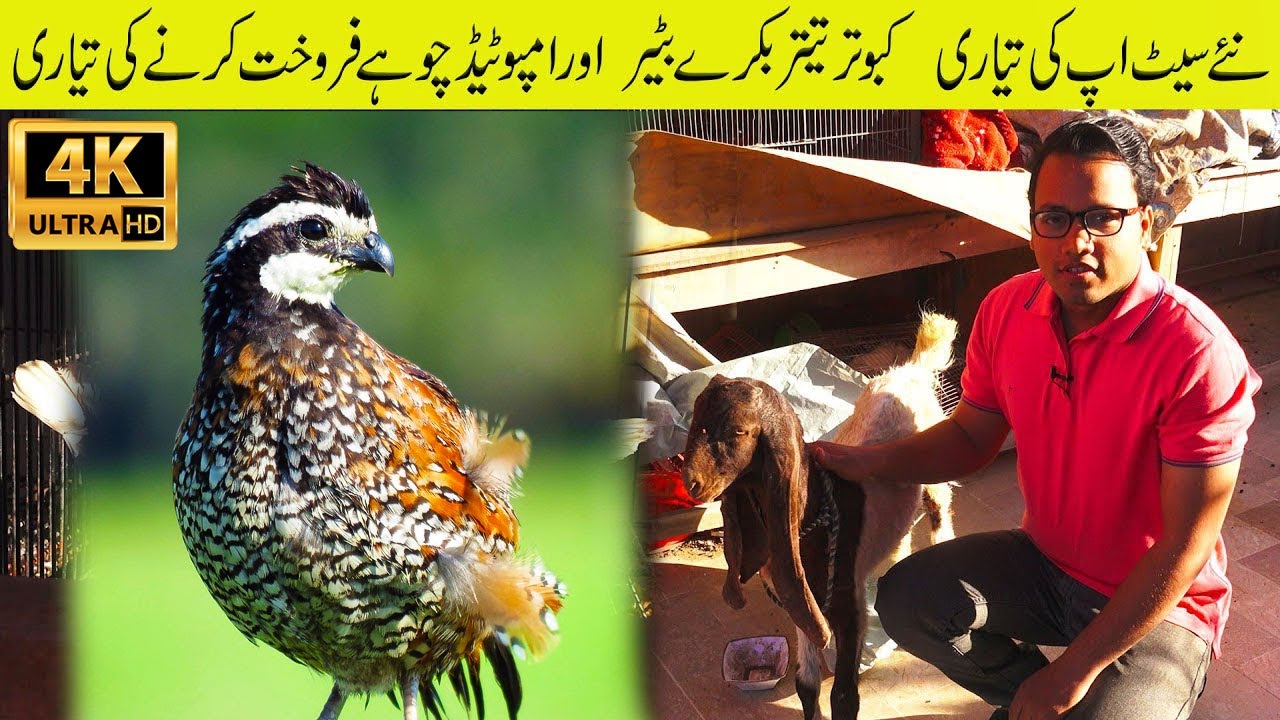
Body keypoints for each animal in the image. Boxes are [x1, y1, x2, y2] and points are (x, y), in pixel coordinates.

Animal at [681, 312, 957, 719]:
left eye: (740, 430)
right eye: (696, 421)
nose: (692, 483)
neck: (811, 520)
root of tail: (912, 370)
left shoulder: (846, 604)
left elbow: (842, 694)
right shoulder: (798, 602)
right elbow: (806, 683)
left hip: (934, 471)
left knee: (940, 516)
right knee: (901, 533)